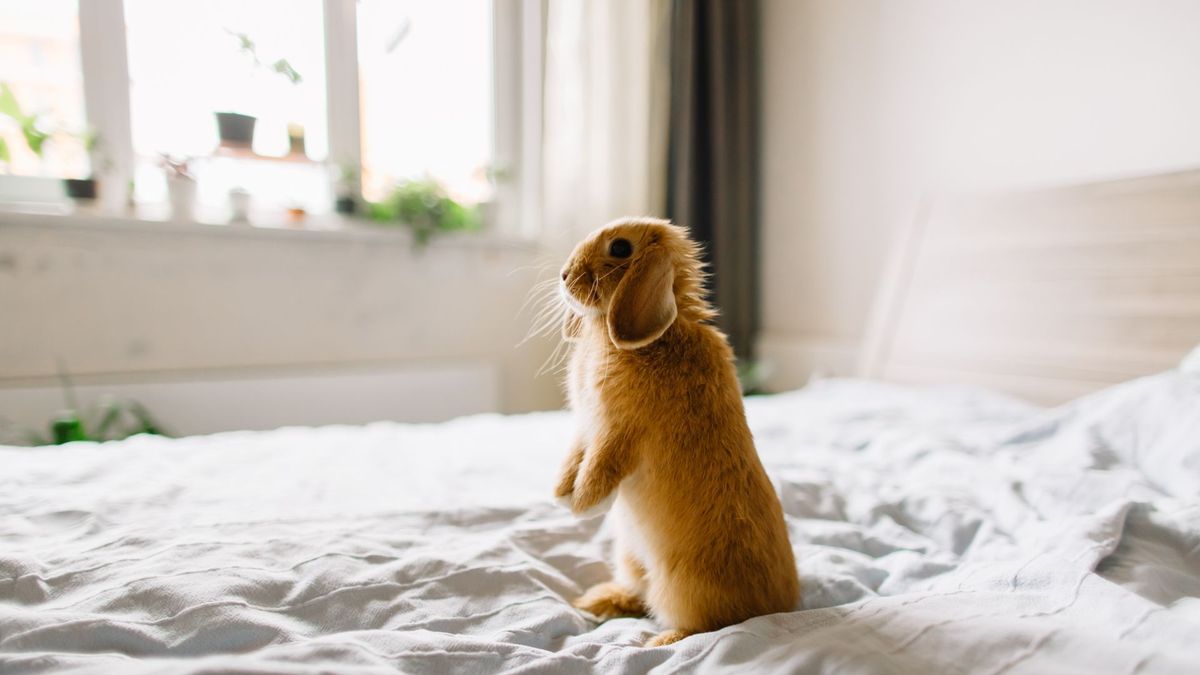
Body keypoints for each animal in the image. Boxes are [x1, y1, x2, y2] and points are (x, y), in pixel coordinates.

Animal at [552, 217, 800, 647]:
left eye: (620, 248)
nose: (564, 275)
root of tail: (781, 605)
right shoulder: (586, 426)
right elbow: (575, 456)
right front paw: (561, 494)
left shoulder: (619, 431)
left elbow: (601, 465)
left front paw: (583, 504)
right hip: (630, 557)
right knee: (640, 594)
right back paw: (599, 601)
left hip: (684, 584)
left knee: (708, 623)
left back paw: (662, 641)